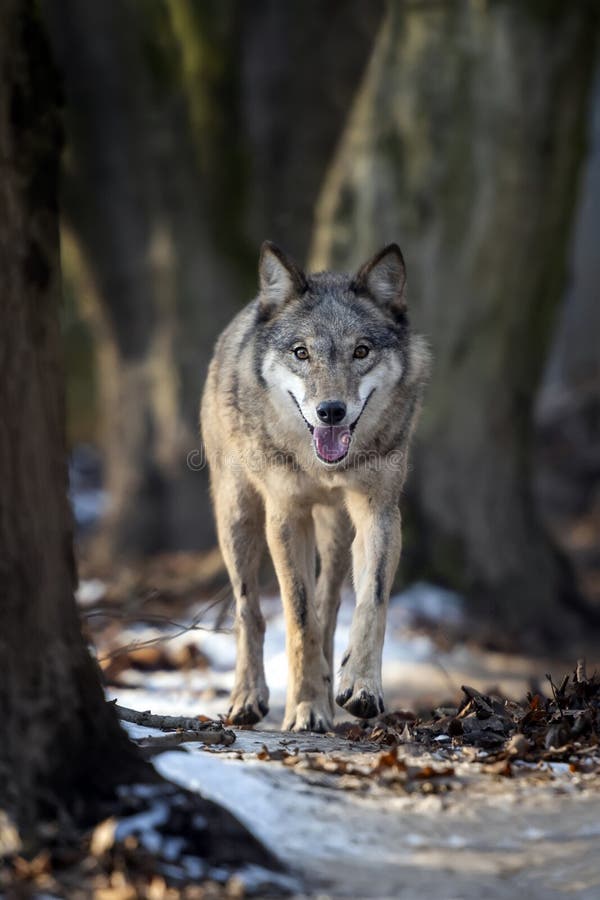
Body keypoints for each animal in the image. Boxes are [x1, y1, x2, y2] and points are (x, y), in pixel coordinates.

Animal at [200, 242, 429, 732]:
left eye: (361, 351)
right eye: (301, 353)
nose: (331, 411)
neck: (325, 467)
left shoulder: (379, 512)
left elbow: (371, 602)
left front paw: (359, 687)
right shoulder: (286, 516)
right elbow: (298, 618)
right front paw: (305, 708)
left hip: (338, 532)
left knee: (330, 609)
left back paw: (329, 687)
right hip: (238, 519)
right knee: (249, 611)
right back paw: (248, 698)